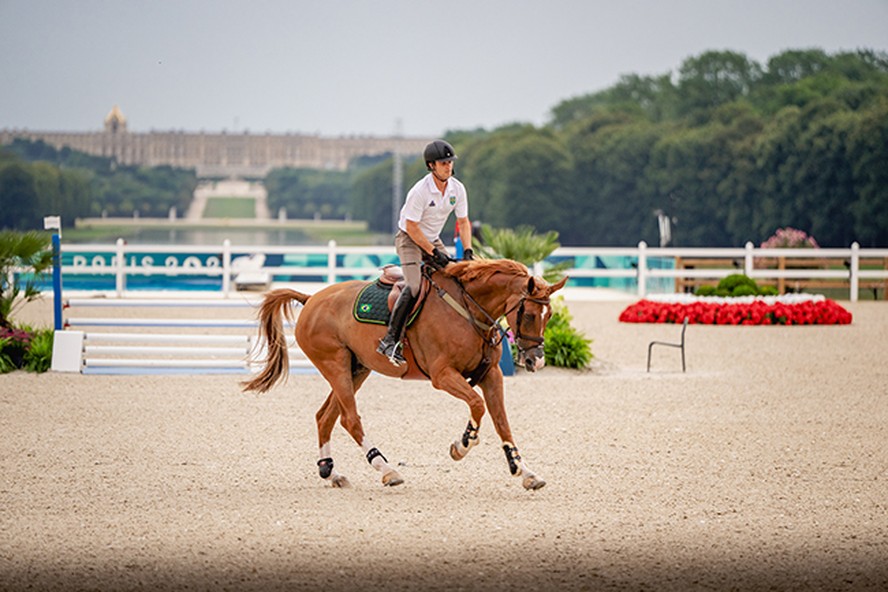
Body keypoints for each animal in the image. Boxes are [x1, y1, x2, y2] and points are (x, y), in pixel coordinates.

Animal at [242, 258, 567, 490]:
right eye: (528, 315)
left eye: (549, 316)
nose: (536, 361)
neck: (469, 310)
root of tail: (311, 298)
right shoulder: (442, 375)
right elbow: (477, 405)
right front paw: (462, 445)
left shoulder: (492, 376)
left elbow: (502, 421)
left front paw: (524, 471)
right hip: (335, 364)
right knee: (350, 419)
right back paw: (386, 469)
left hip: (357, 368)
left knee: (326, 416)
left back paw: (331, 472)